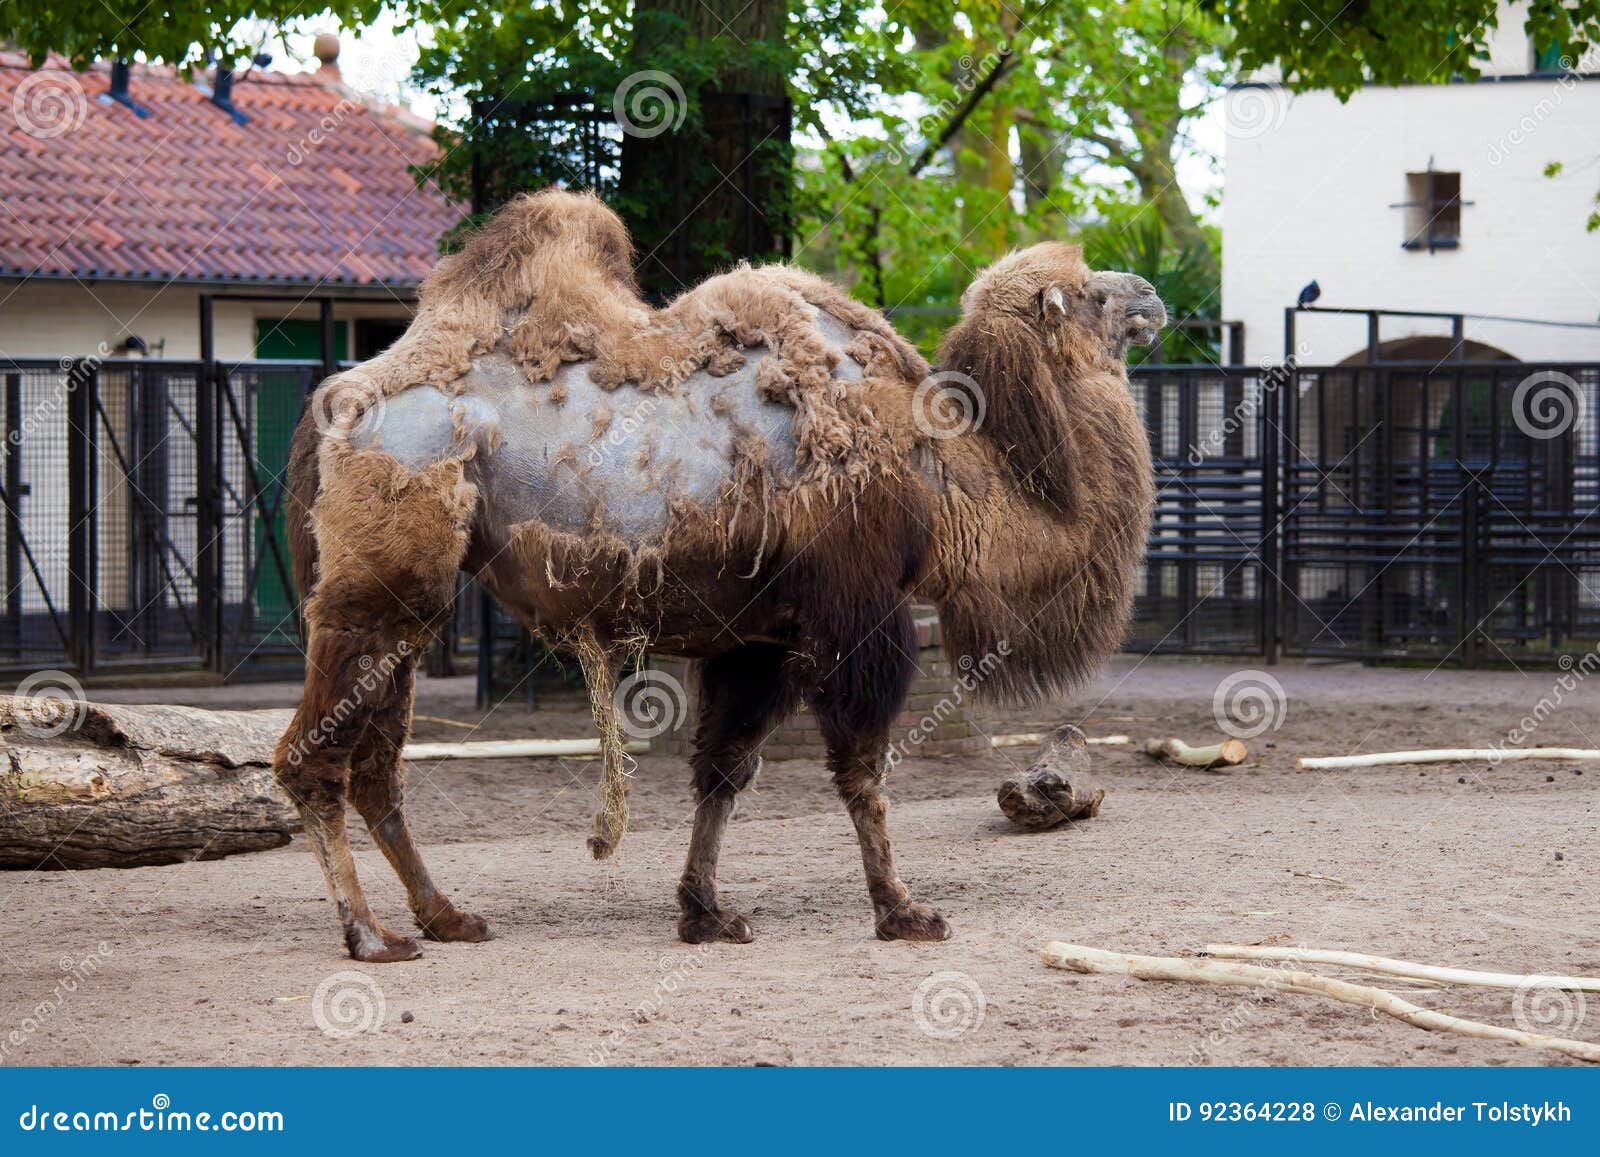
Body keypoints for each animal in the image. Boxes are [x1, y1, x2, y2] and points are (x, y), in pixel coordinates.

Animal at [276, 189, 1160, 962]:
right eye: (1091, 293)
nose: (1150, 294)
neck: (940, 473)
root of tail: (336, 401)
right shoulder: (859, 610)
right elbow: (863, 768)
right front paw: (904, 910)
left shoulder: (760, 634)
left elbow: (724, 770)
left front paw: (704, 912)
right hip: (380, 581)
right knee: (313, 757)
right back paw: (371, 935)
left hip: (405, 599)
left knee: (378, 765)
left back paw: (447, 916)